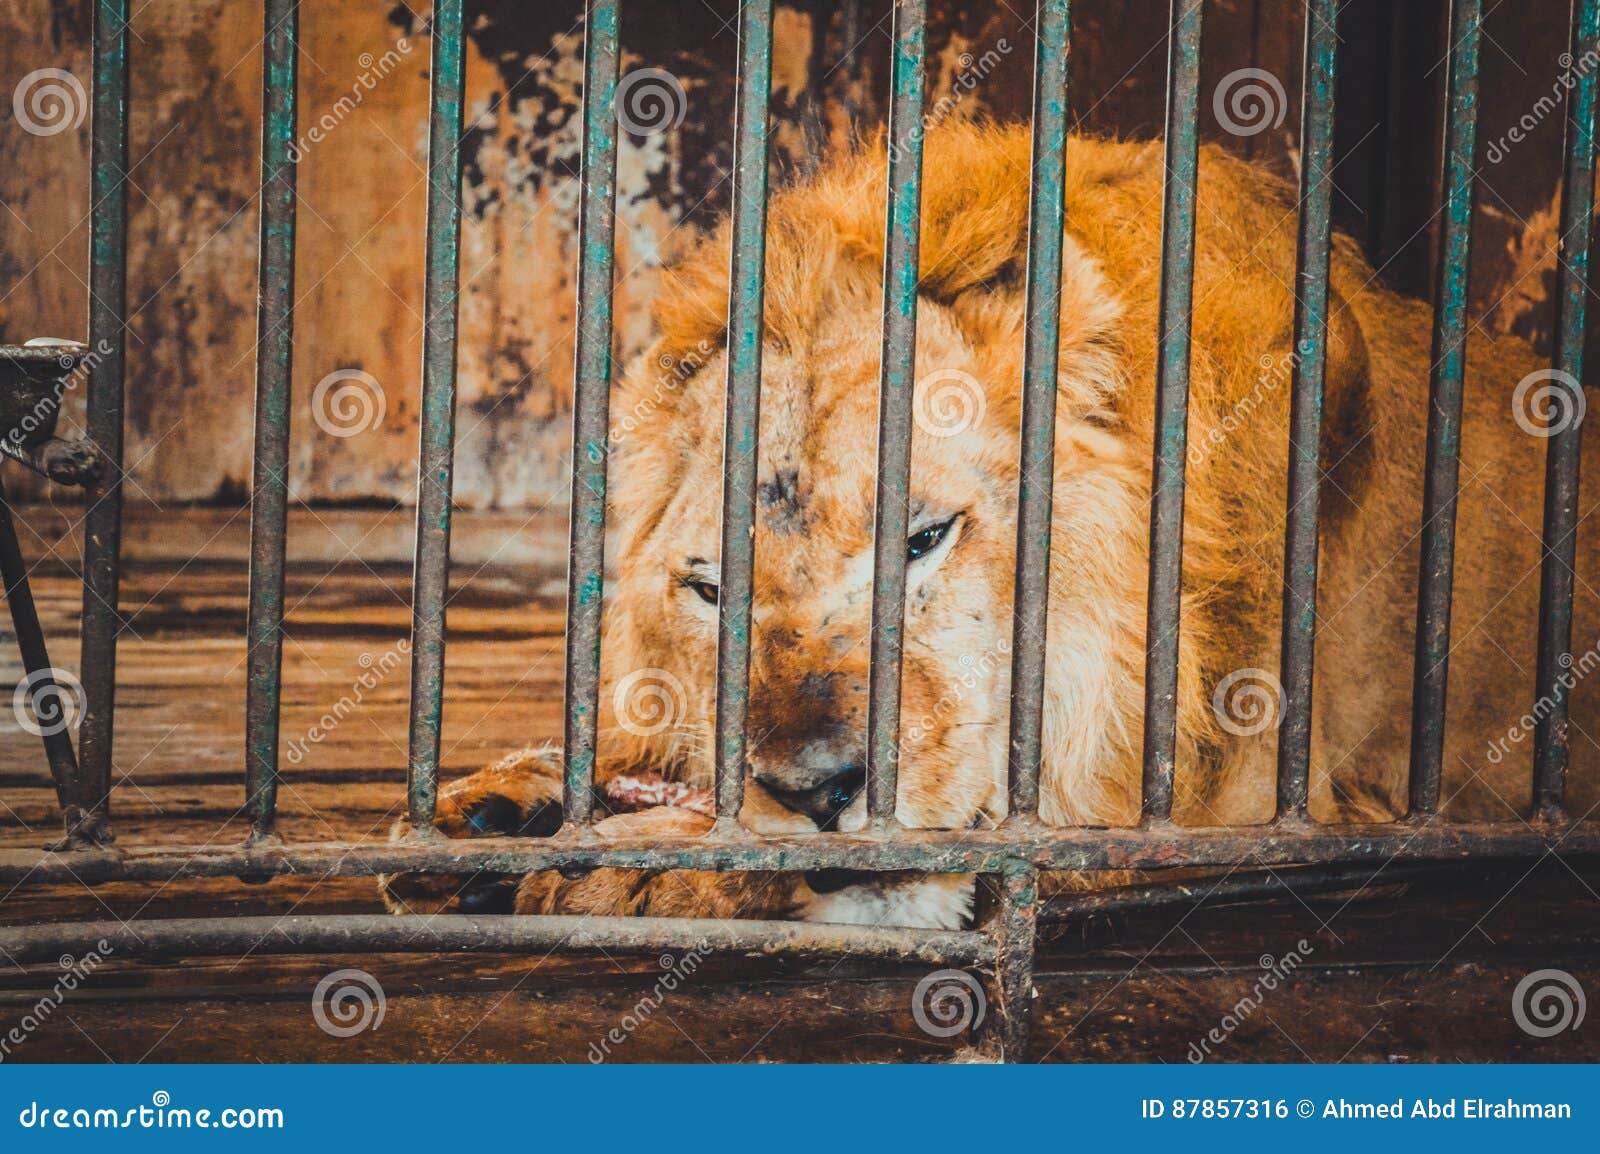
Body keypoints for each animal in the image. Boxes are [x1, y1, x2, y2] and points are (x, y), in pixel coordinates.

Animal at [381, 122, 1599, 929]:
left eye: (925, 539)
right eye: (712, 591)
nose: (818, 788)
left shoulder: (1236, 794)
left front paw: (630, 857)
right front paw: (506, 807)